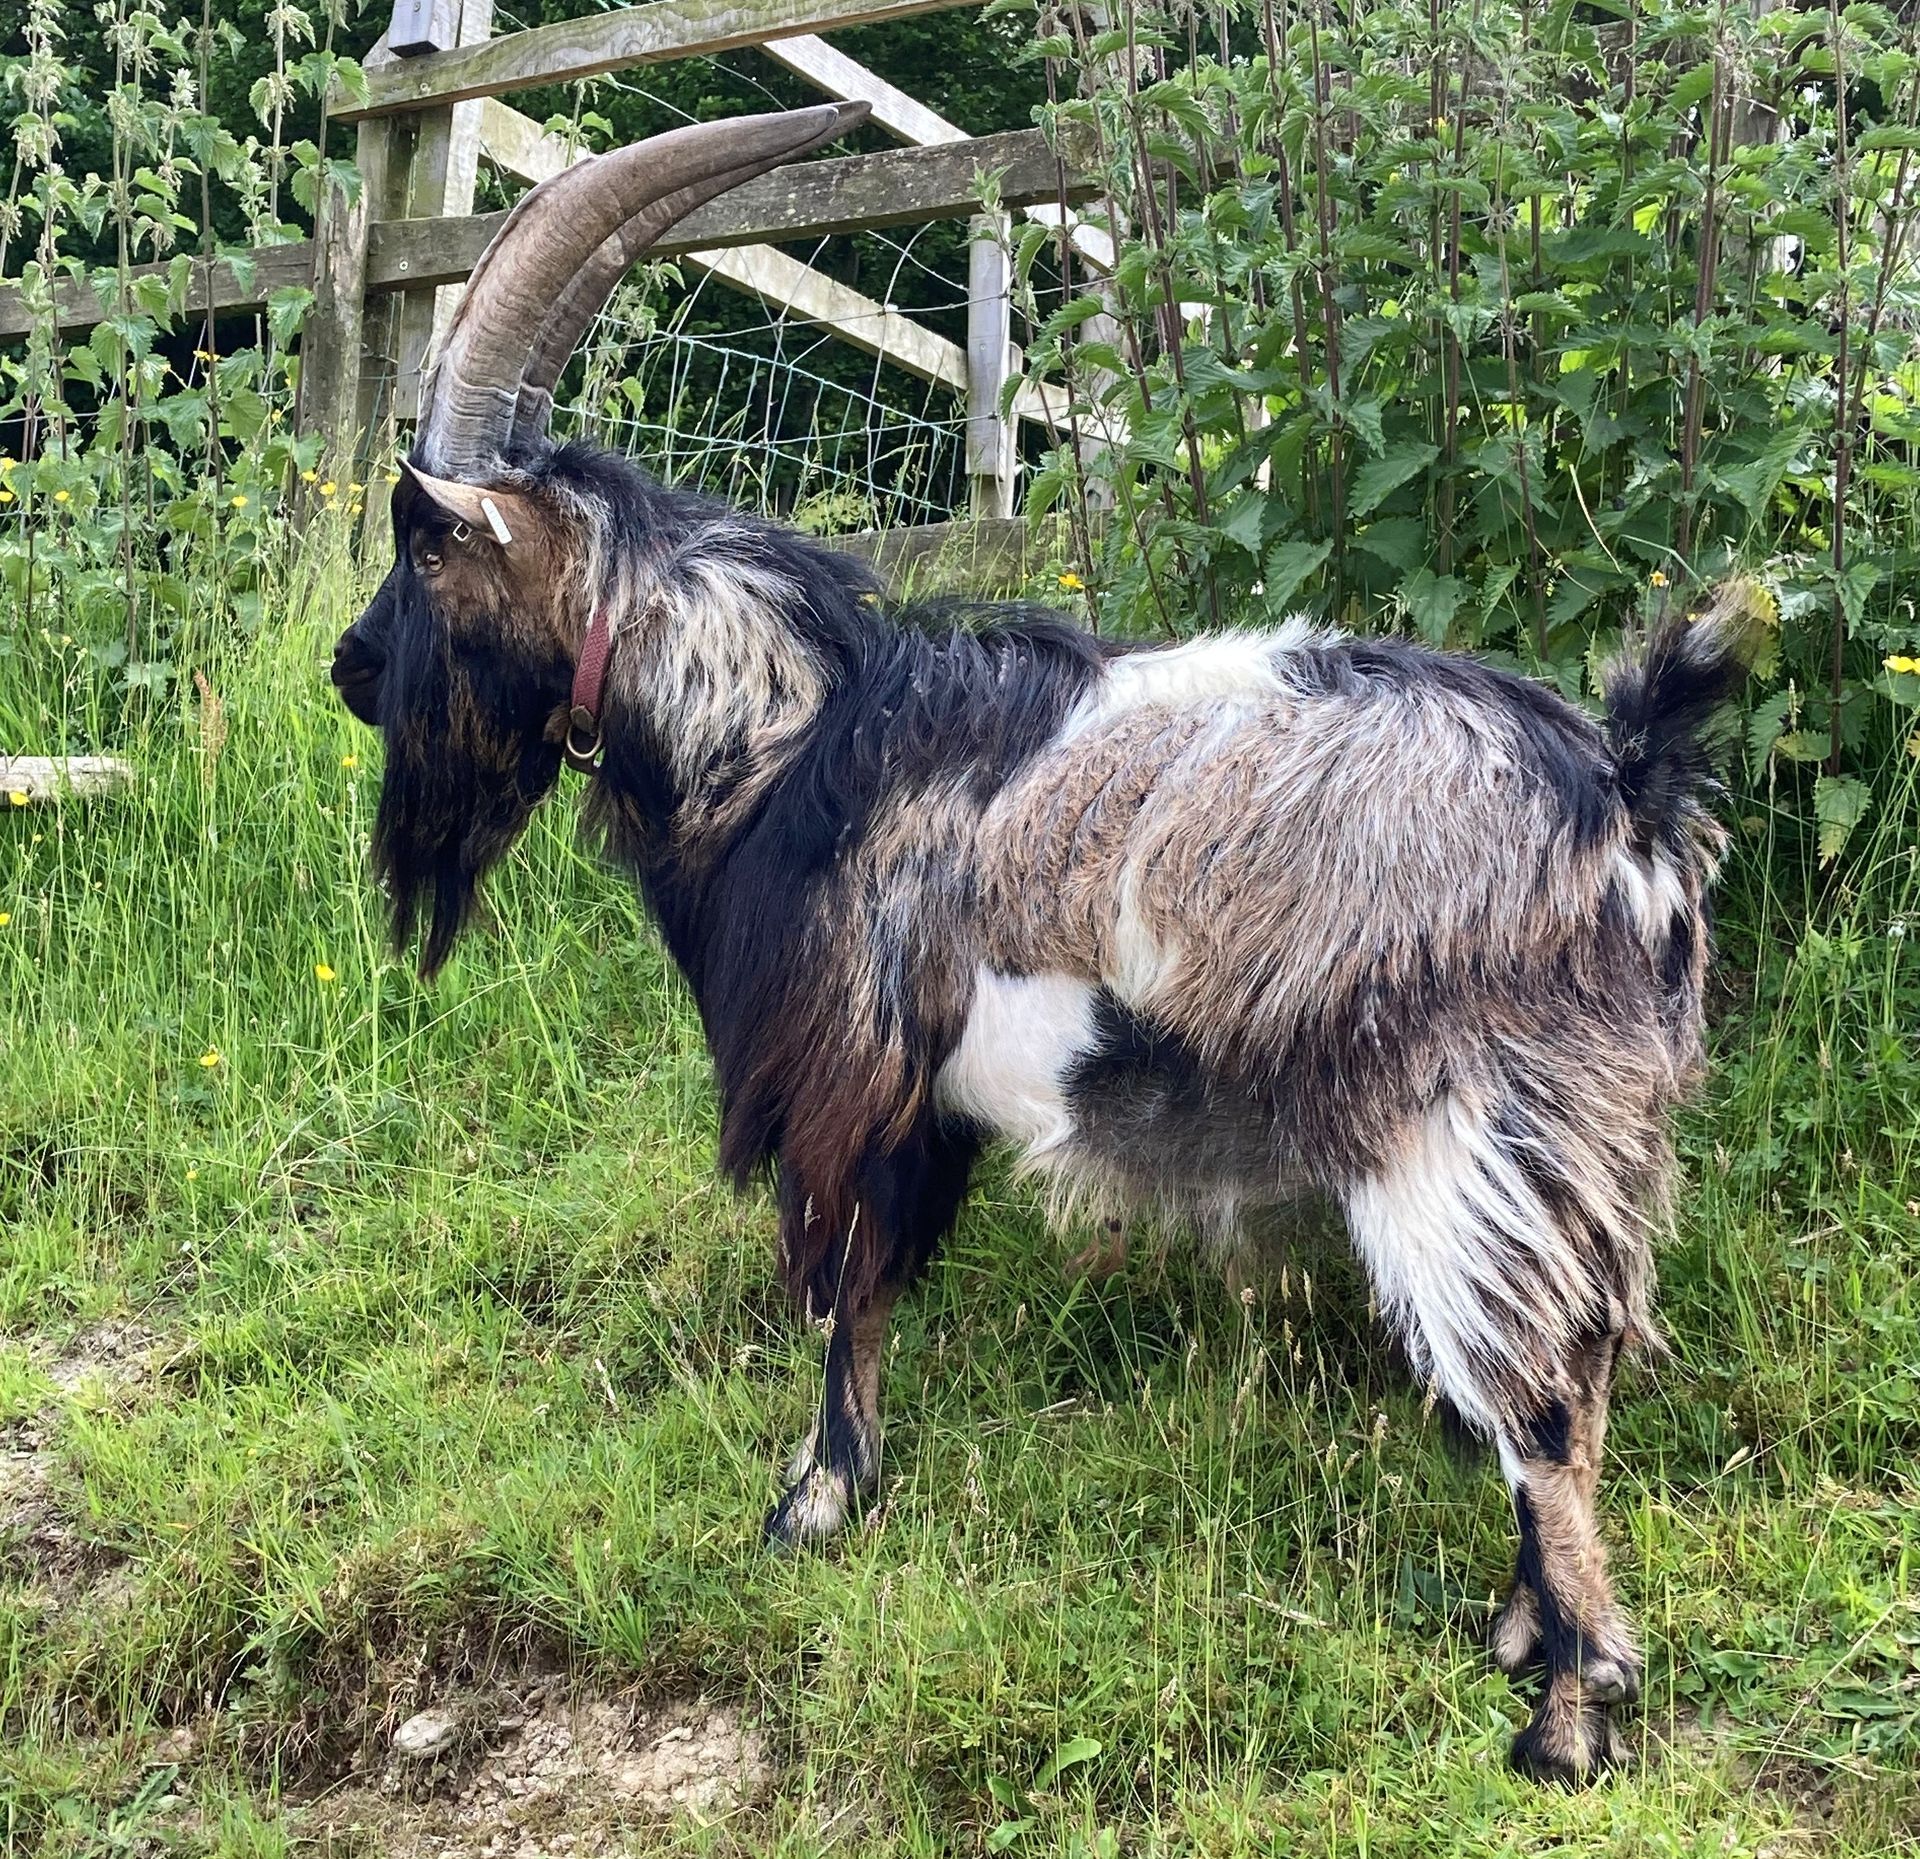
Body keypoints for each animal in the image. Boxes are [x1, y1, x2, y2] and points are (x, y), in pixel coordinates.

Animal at [329, 104, 1753, 1782]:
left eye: (424, 546)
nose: (350, 667)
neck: (789, 737)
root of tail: (1630, 790)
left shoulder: (851, 1076)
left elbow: (846, 1293)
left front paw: (814, 1503)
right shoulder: (918, 1098)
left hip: (1465, 1139)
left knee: (1542, 1411)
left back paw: (1567, 1714)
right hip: (1583, 1150)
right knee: (1580, 1373)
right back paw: (1523, 1633)